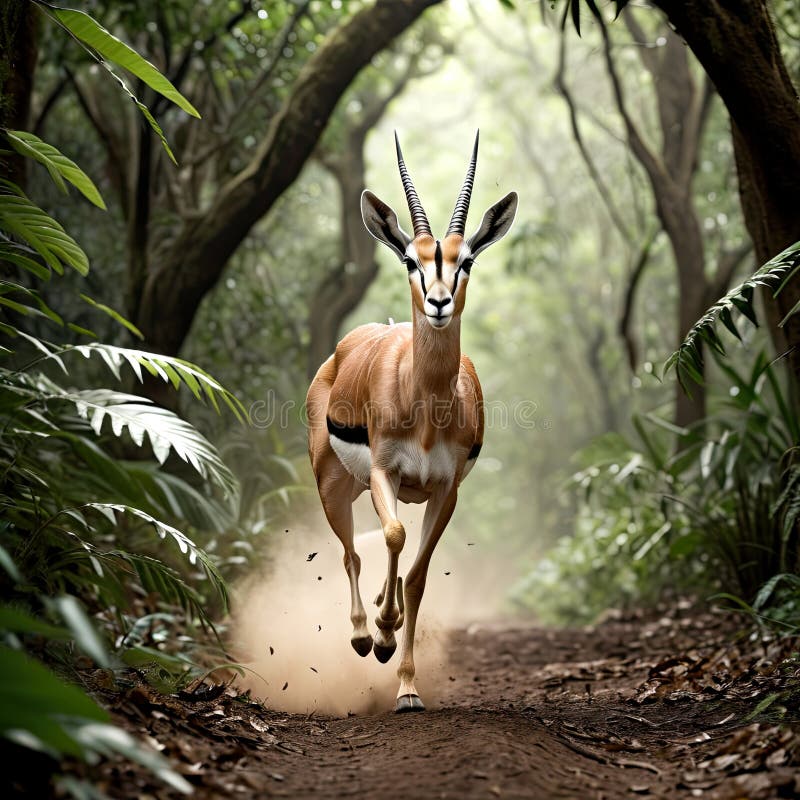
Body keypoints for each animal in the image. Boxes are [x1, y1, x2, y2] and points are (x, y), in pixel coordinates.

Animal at [306, 132, 517, 712]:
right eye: (409, 260)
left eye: (465, 260)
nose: (439, 303)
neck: (425, 406)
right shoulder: (386, 472)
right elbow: (395, 536)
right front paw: (381, 635)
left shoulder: (445, 489)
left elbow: (419, 575)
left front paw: (406, 688)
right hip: (334, 484)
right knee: (352, 552)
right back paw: (363, 634)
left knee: (378, 552)